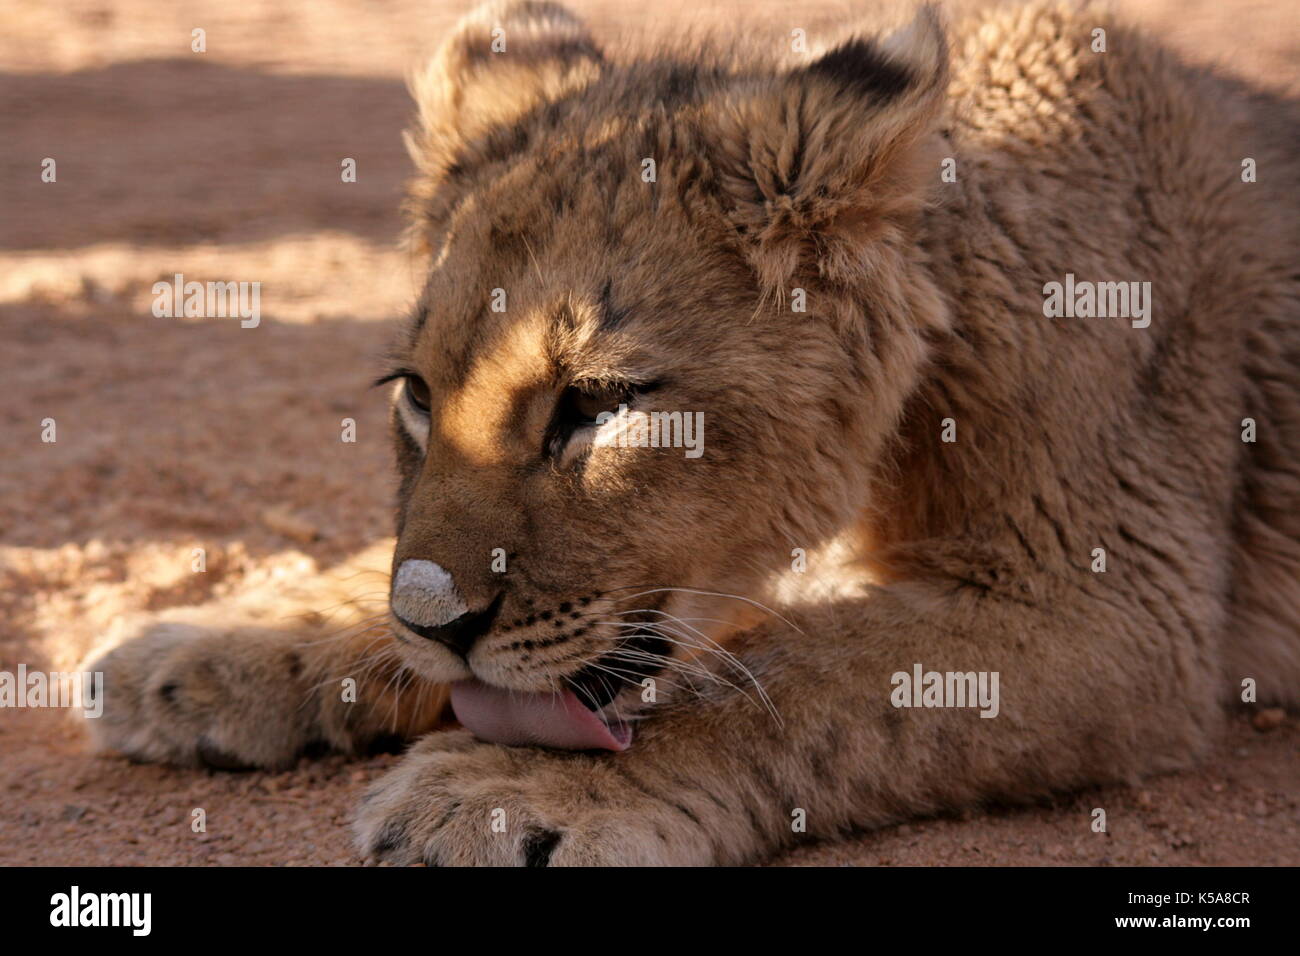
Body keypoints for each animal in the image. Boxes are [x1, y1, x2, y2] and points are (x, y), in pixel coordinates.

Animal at [85, 0, 1299, 866]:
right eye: (417, 395)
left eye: (597, 404)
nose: (436, 627)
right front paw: (213, 648)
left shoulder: (1118, 607)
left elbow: (802, 675)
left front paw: (514, 792)